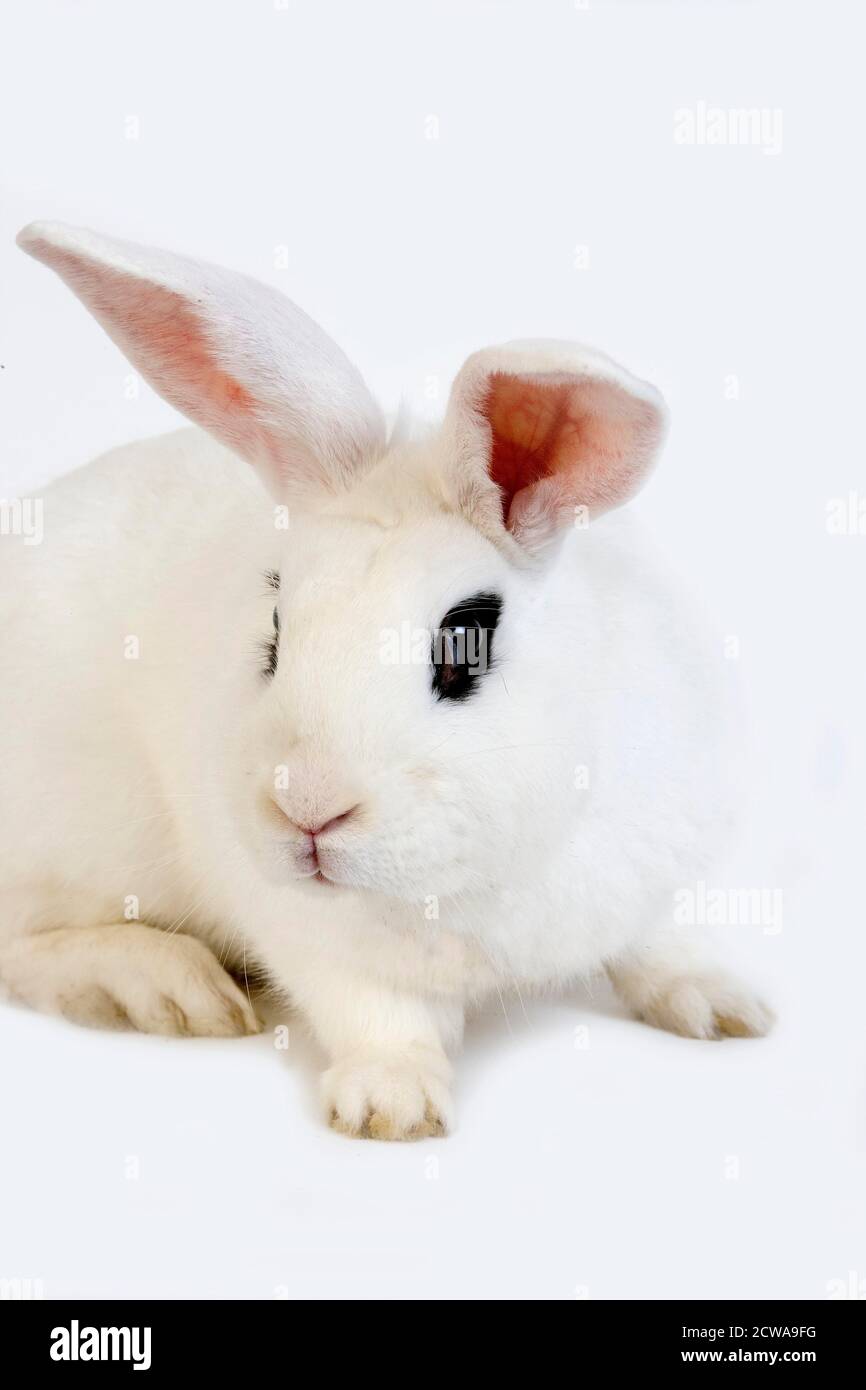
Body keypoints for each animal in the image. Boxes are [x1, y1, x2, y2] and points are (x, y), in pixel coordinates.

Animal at [0, 221, 773, 1140]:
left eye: (466, 641)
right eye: (277, 628)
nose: (307, 809)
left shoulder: (655, 875)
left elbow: (667, 945)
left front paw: (729, 1008)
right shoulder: (324, 948)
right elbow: (380, 1020)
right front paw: (393, 1107)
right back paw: (167, 988)